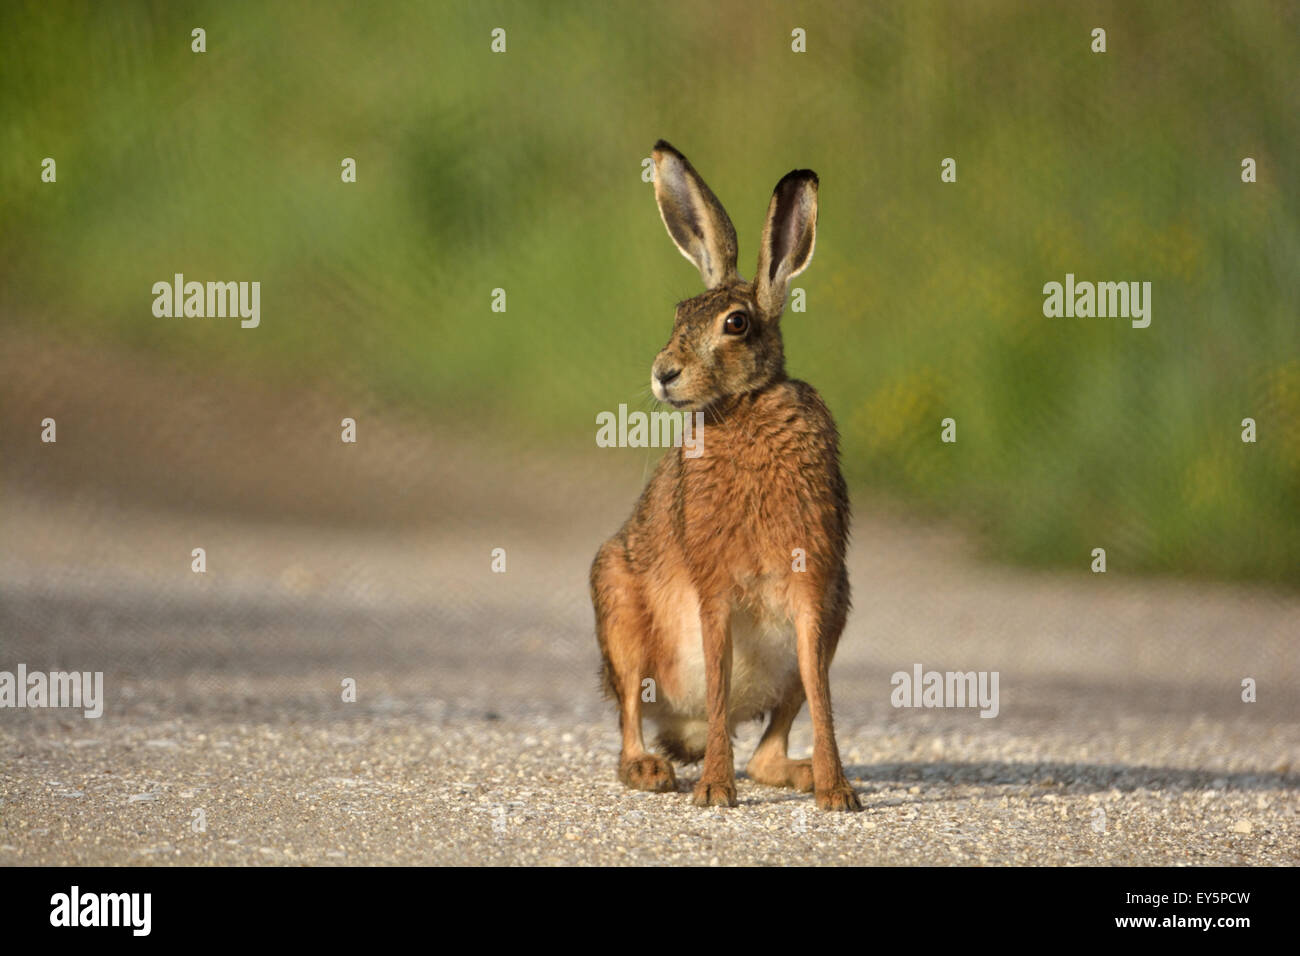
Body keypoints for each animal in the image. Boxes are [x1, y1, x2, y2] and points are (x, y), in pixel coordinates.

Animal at [590, 141, 860, 811]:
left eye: (735, 324)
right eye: (680, 312)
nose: (664, 373)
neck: (744, 406)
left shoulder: (814, 588)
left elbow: (823, 697)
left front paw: (838, 793)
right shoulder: (712, 589)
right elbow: (716, 685)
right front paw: (714, 790)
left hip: (837, 610)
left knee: (771, 744)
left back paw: (801, 774)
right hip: (619, 613)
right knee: (631, 713)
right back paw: (650, 771)